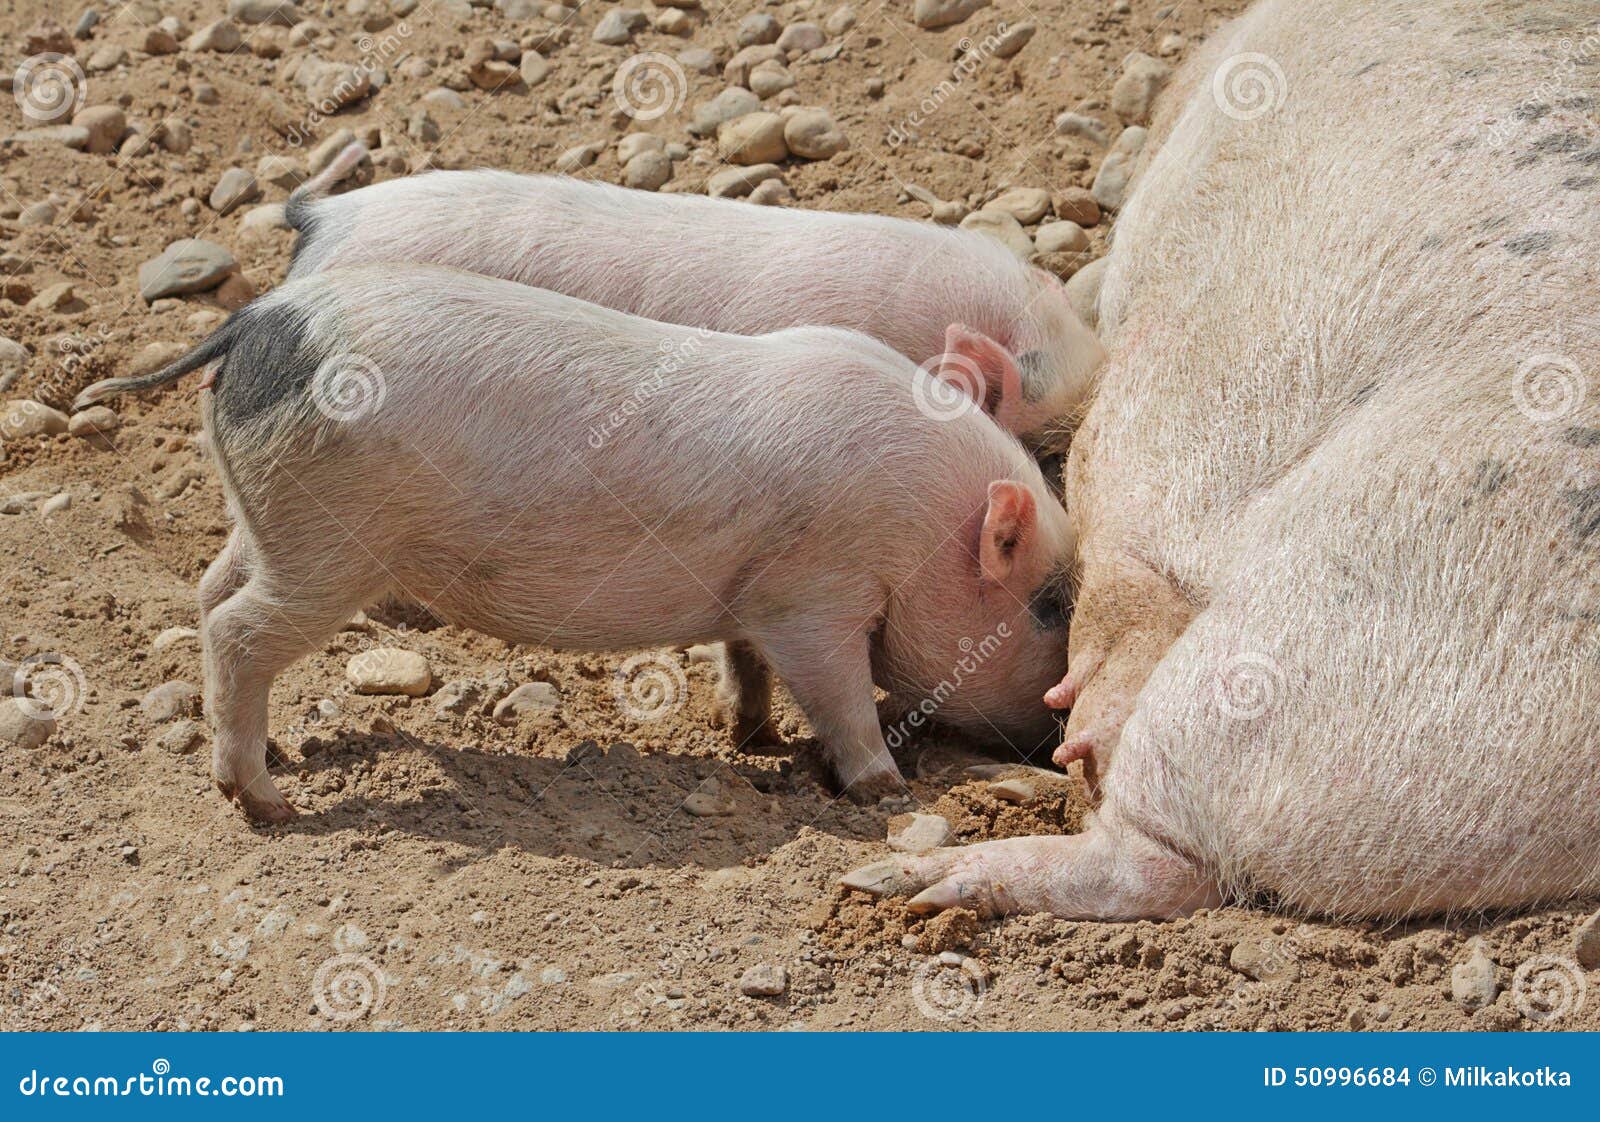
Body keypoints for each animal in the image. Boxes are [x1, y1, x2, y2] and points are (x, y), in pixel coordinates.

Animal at [76, 265, 1077, 823]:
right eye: (1048, 606)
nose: (1052, 742)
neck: (922, 524)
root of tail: (252, 324)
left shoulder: (756, 591)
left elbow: (743, 658)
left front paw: (751, 737)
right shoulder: (817, 592)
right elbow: (840, 695)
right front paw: (884, 791)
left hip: (270, 517)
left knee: (210, 590)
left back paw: (279, 758)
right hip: (330, 543)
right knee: (236, 629)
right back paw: (269, 803)